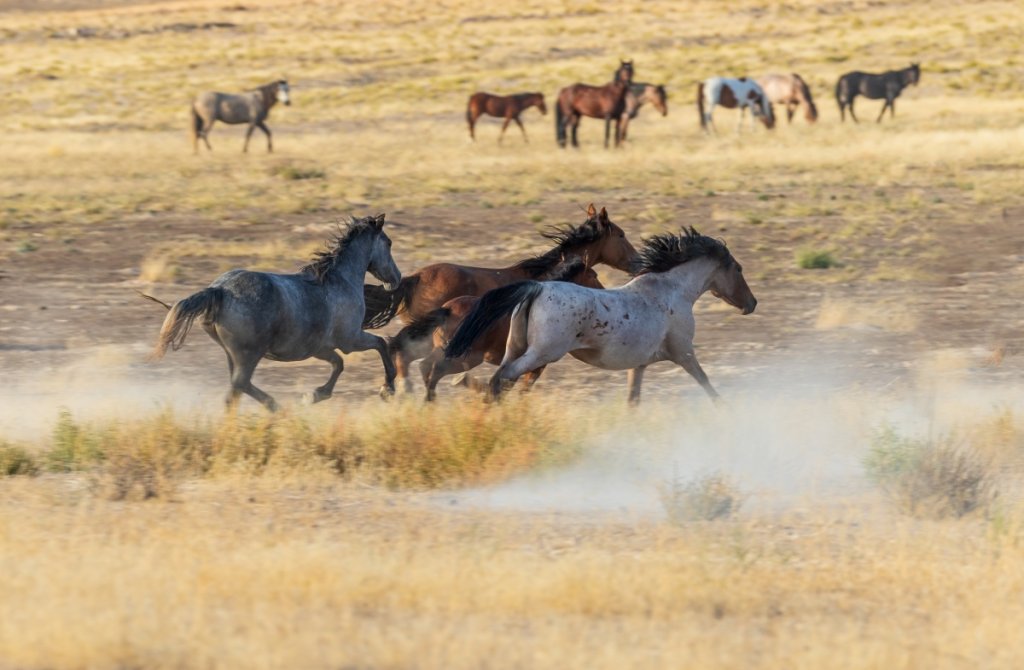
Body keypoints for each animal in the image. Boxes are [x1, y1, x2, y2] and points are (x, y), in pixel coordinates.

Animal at [148, 215, 401, 411]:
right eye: (388, 243)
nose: (396, 278)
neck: (339, 281)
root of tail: (219, 290)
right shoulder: (350, 340)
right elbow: (380, 344)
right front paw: (387, 388)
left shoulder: (321, 348)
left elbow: (338, 364)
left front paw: (312, 396)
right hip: (249, 354)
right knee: (238, 387)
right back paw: (271, 410)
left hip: (233, 354)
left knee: (238, 387)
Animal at [393, 259, 604, 402]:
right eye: (593, 276)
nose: (603, 292)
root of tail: (448, 309)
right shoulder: (535, 365)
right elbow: (516, 388)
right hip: (465, 357)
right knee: (433, 368)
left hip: (441, 349)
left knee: (423, 365)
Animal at [445, 227, 757, 405]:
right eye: (739, 269)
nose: (751, 304)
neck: (671, 290)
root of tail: (537, 287)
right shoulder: (684, 353)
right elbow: (707, 384)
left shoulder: (639, 365)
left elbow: (633, 401)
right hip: (542, 354)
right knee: (502, 380)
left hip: (516, 348)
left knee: (500, 380)